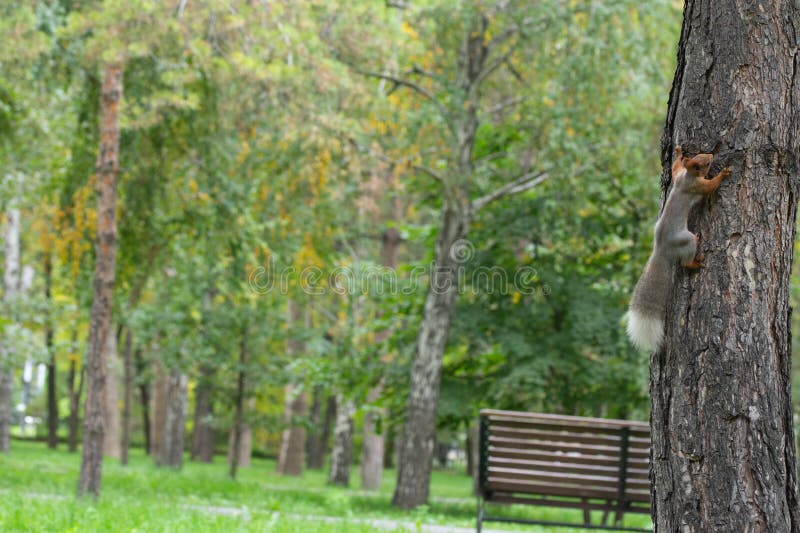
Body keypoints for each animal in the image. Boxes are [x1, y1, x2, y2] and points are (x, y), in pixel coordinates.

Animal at [627, 146, 731, 352]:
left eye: (703, 156)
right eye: (706, 163)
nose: (712, 154)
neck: (689, 176)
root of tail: (661, 248)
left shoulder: (678, 175)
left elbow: (675, 168)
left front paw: (679, 153)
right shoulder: (697, 186)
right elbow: (711, 186)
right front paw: (724, 173)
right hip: (687, 240)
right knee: (684, 262)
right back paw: (694, 263)